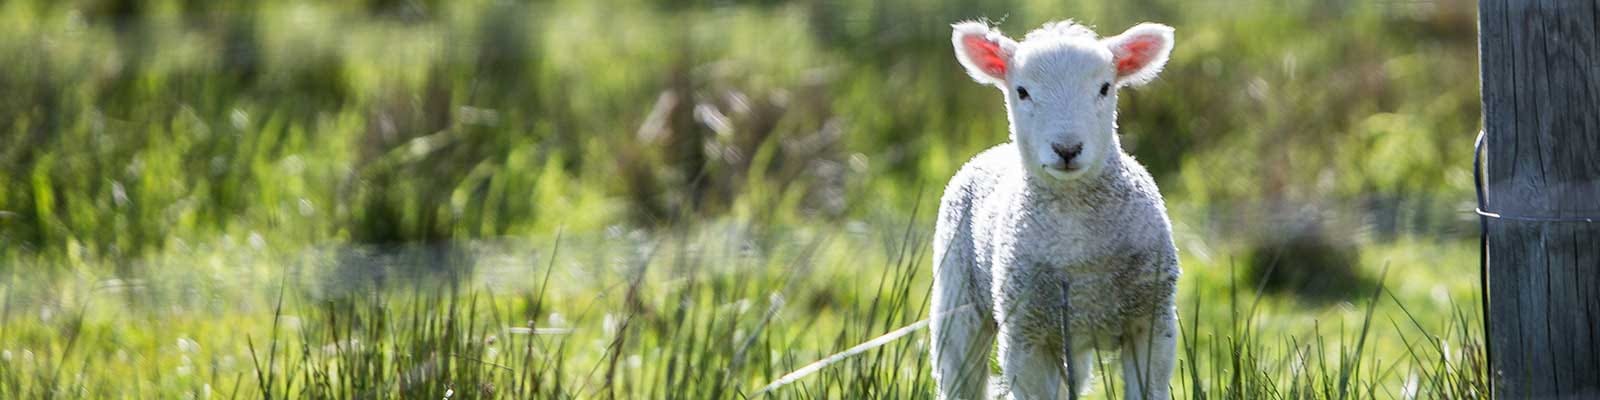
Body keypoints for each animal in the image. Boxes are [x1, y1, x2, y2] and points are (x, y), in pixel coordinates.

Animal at [929, 20, 1181, 400]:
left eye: (1105, 88)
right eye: (1022, 91)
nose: (1067, 149)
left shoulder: (1151, 322)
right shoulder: (1025, 336)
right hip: (957, 296)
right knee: (960, 373)